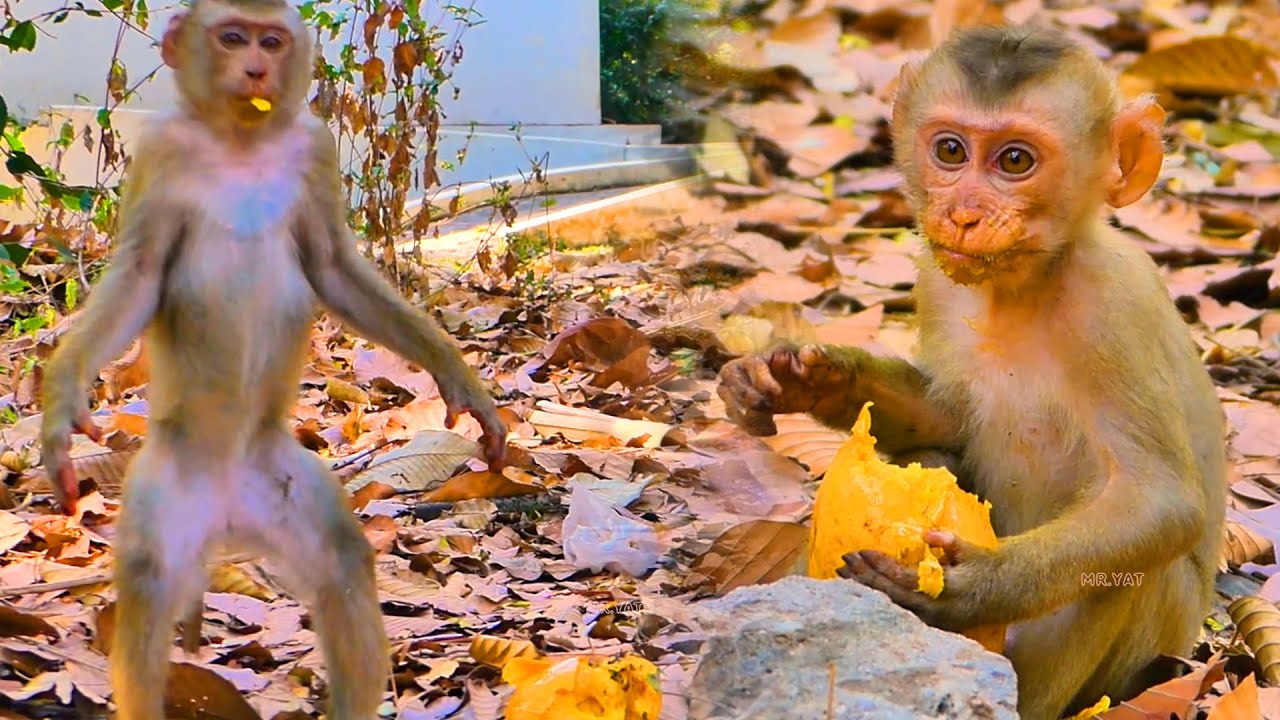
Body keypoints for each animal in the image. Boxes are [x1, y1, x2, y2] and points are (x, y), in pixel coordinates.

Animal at [37, 0, 508, 717]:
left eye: (272, 40)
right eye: (233, 37)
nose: (256, 68)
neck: (242, 142)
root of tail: (228, 518)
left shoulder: (313, 148)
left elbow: (333, 267)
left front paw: (461, 381)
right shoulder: (161, 150)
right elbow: (140, 278)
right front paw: (63, 406)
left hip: (281, 484)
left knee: (342, 564)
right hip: (170, 490)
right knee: (149, 583)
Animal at [717, 25, 1226, 720]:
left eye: (1014, 162)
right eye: (951, 151)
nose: (962, 214)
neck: (1020, 292)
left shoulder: (1113, 307)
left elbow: (1159, 501)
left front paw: (972, 586)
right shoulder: (935, 281)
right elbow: (946, 419)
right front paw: (807, 379)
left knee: (1133, 567)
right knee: (933, 455)